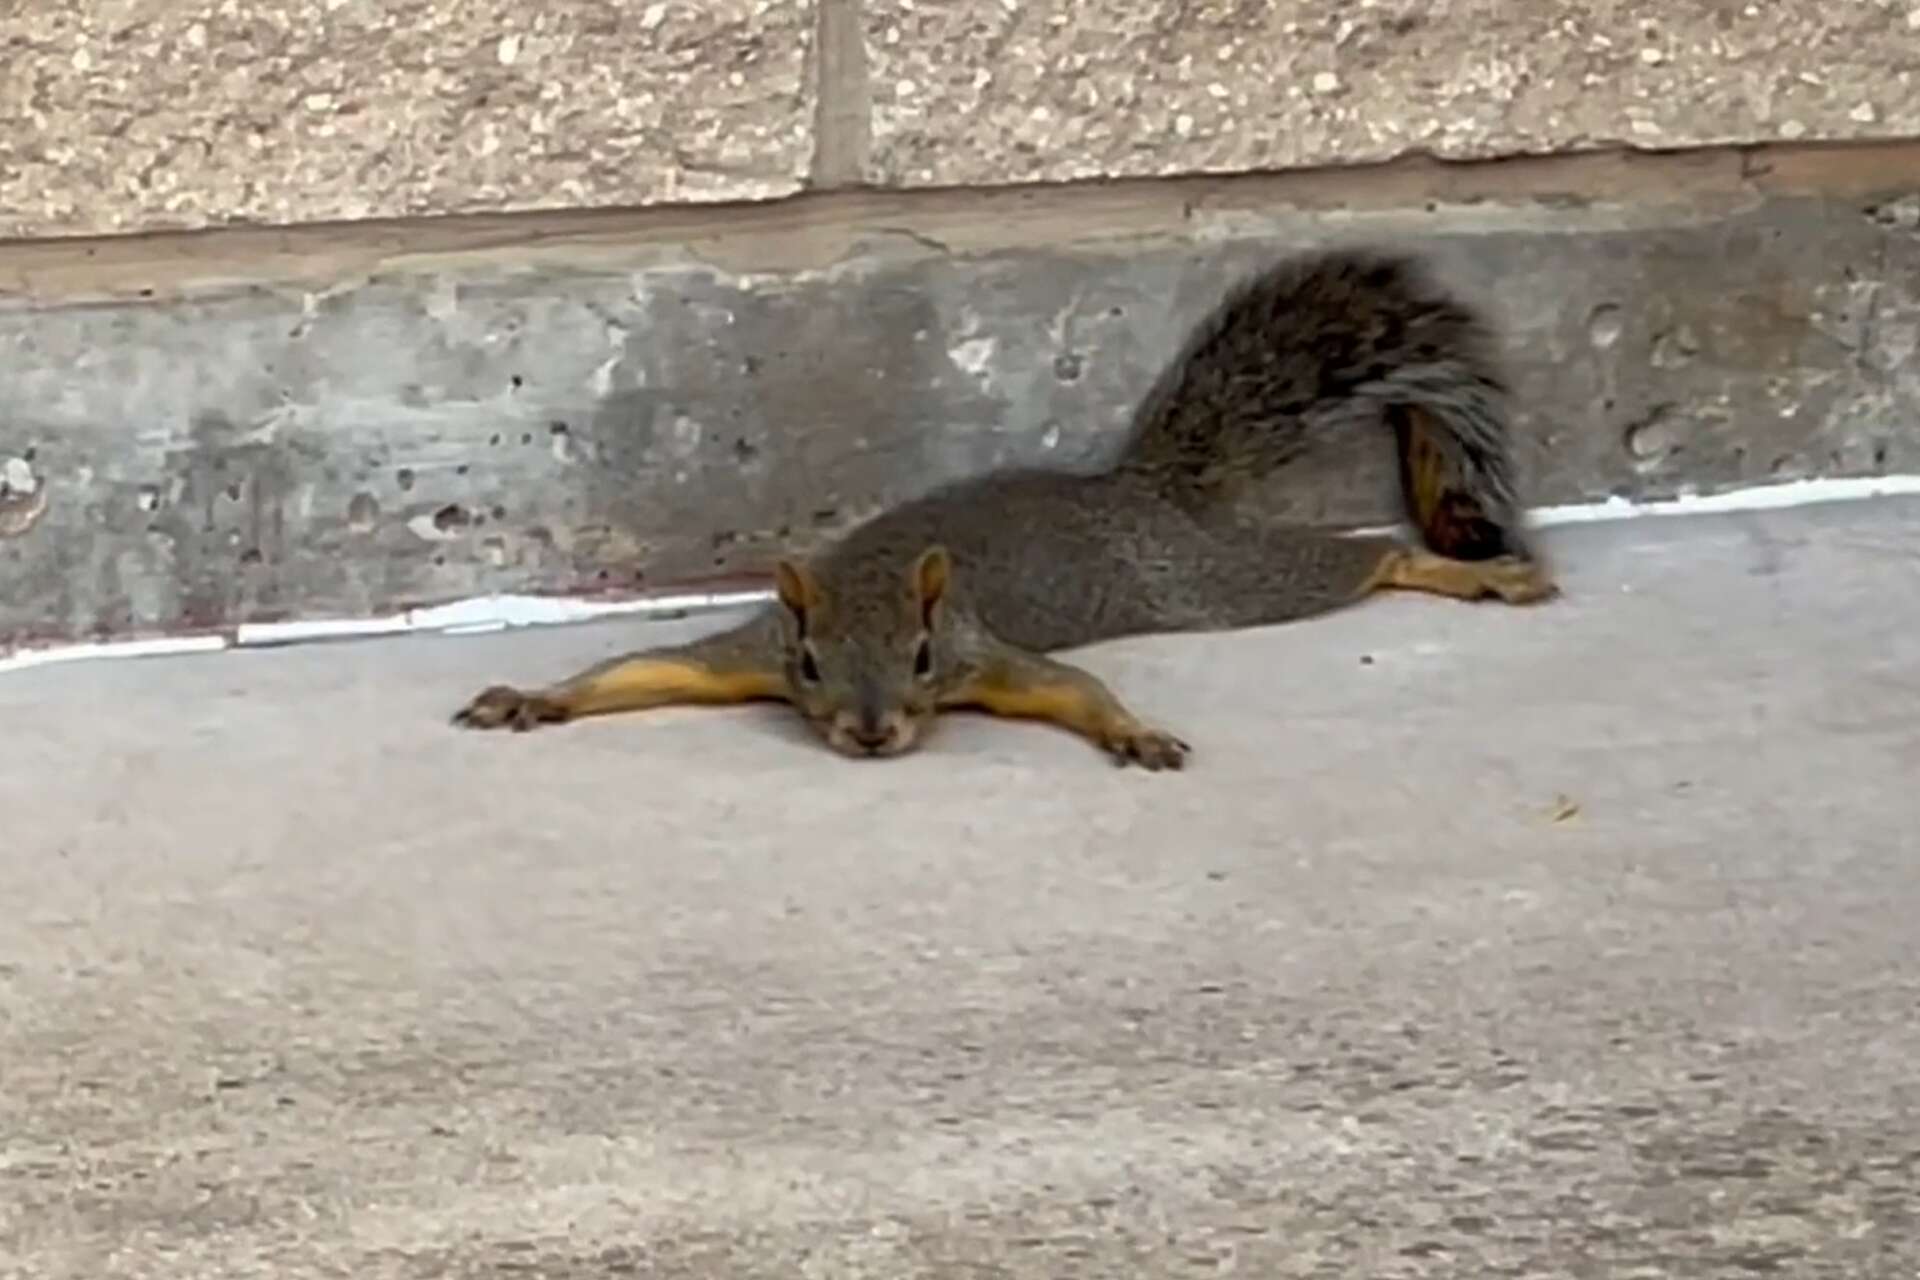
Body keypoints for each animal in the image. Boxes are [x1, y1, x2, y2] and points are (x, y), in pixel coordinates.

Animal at [453, 248, 1557, 769]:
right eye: (809, 663)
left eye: (923, 657)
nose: (872, 735)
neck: (870, 577)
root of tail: (1136, 485)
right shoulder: (748, 653)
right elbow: (642, 668)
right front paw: (535, 696)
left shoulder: (988, 654)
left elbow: (1073, 689)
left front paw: (1135, 733)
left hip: (1207, 577)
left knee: (1356, 559)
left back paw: (1473, 572)